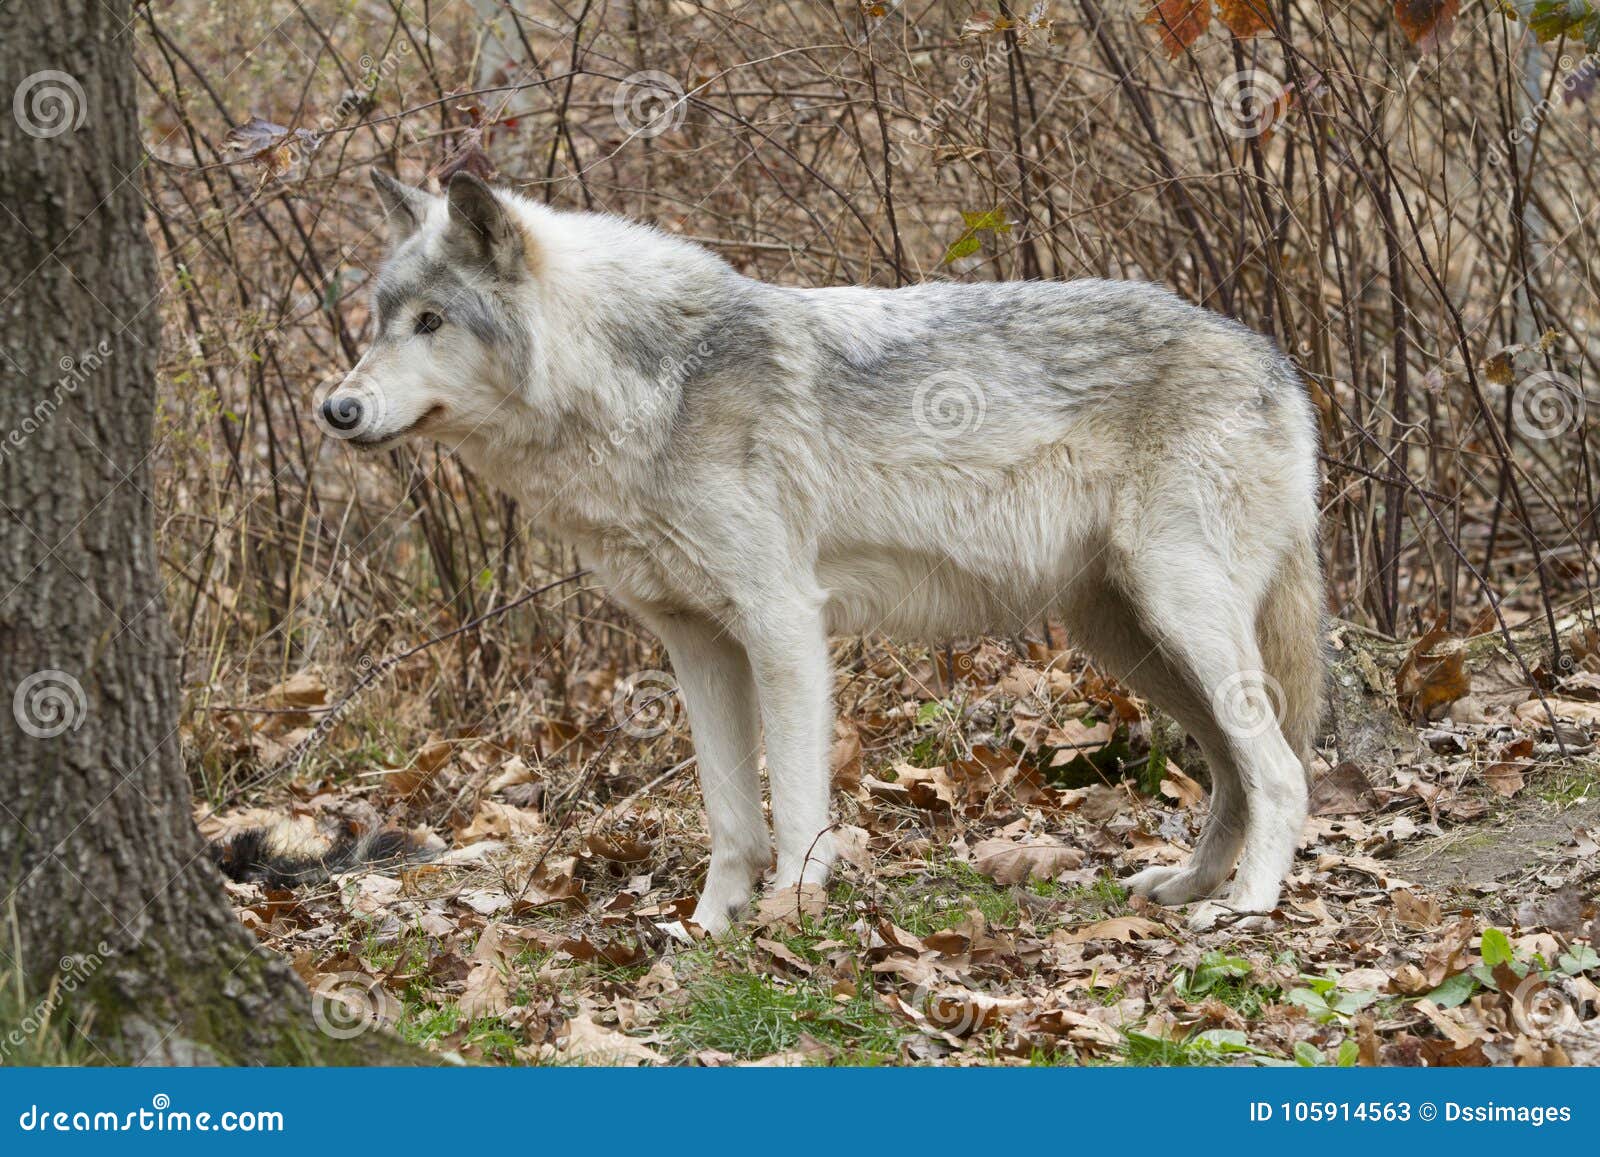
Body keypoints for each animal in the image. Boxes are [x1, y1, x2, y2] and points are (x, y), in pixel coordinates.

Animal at [322, 169, 1325, 934]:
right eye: (378, 320)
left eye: (431, 322)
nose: (337, 408)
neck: (645, 388)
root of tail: (1275, 361)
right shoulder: (695, 642)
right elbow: (731, 816)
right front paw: (707, 928)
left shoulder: (783, 626)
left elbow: (799, 799)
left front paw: (793, 911)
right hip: (1128, 638)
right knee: (1237, 772)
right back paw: (1189, 884)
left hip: (1178, 617)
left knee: (1280, 771)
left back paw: (1245, 905)